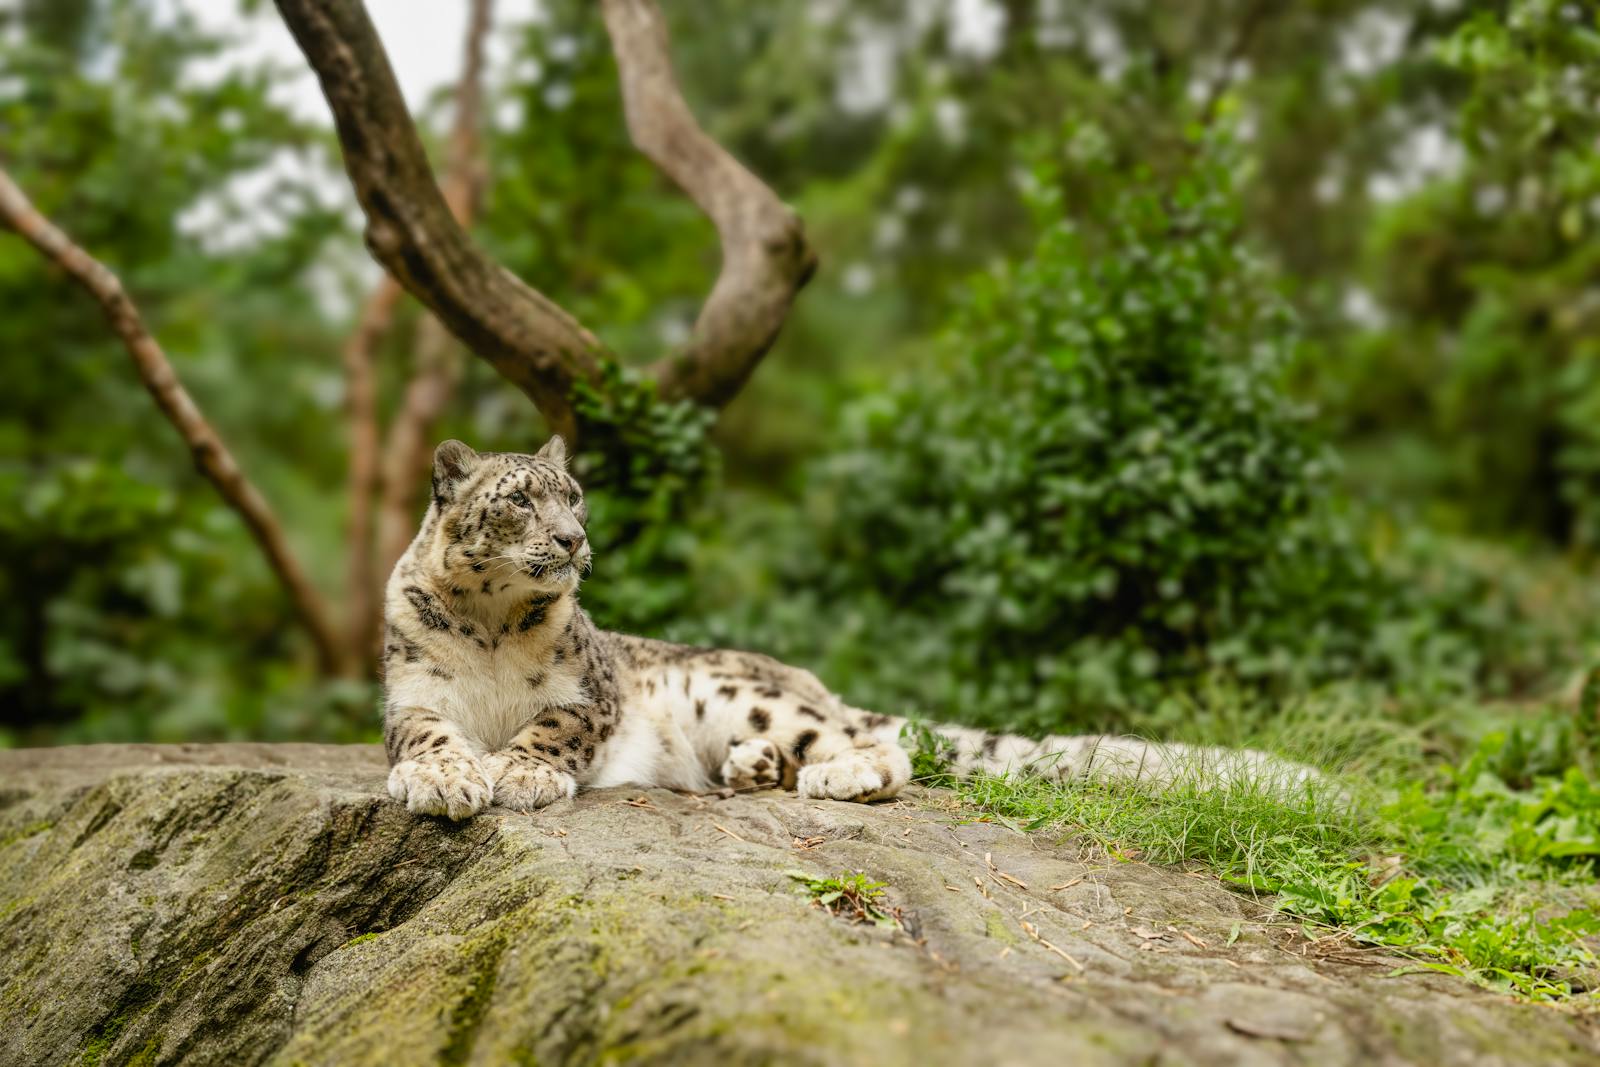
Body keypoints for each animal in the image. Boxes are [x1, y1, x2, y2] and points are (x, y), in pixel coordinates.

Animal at [382, 437, 1302, 819]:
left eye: (574, 497)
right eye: (519, 500)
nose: (574, 541)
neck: (494, 626)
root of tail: (807, 679)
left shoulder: (587, 693)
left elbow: (549, 729)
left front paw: (517, 773)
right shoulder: (412, 694)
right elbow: (429, 737)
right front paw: (445, 781)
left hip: (736, 692)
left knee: (877, 747)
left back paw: (836, 776)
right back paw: (753, 768)